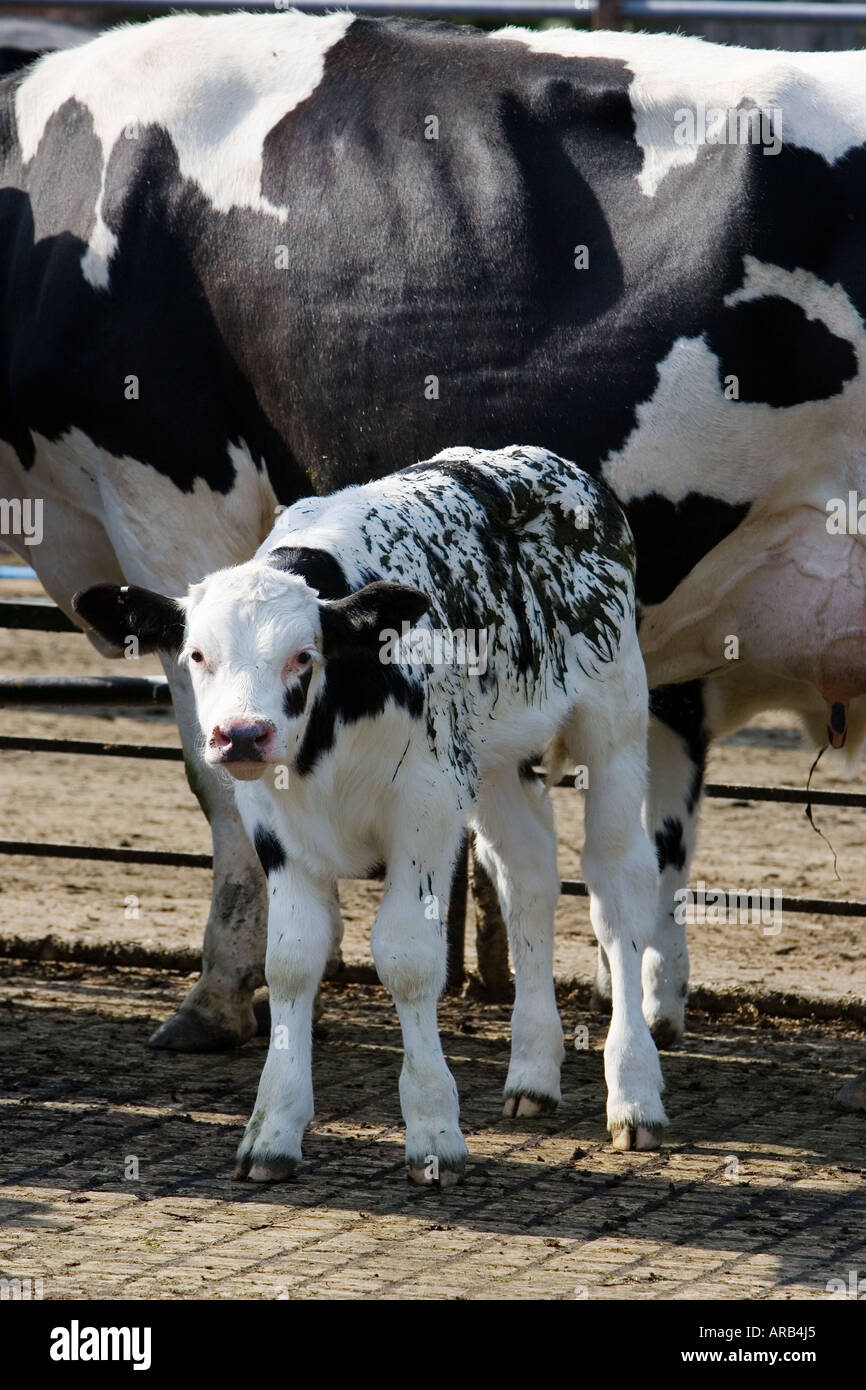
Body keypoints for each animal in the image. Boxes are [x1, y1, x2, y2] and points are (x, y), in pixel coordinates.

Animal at [75, 445, 666, 1178]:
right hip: (492, 758)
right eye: (197, 654)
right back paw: (533, 1073)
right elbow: (291, 958)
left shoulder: (427, 804)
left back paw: (635, 1093)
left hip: (613, 724)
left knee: (618, 887)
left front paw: (434, 1130)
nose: (242, 735)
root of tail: (548, 464)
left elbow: (407, 956)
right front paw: (272, 1129)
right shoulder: (274, 821)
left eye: (303, 655)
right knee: (528, 876)